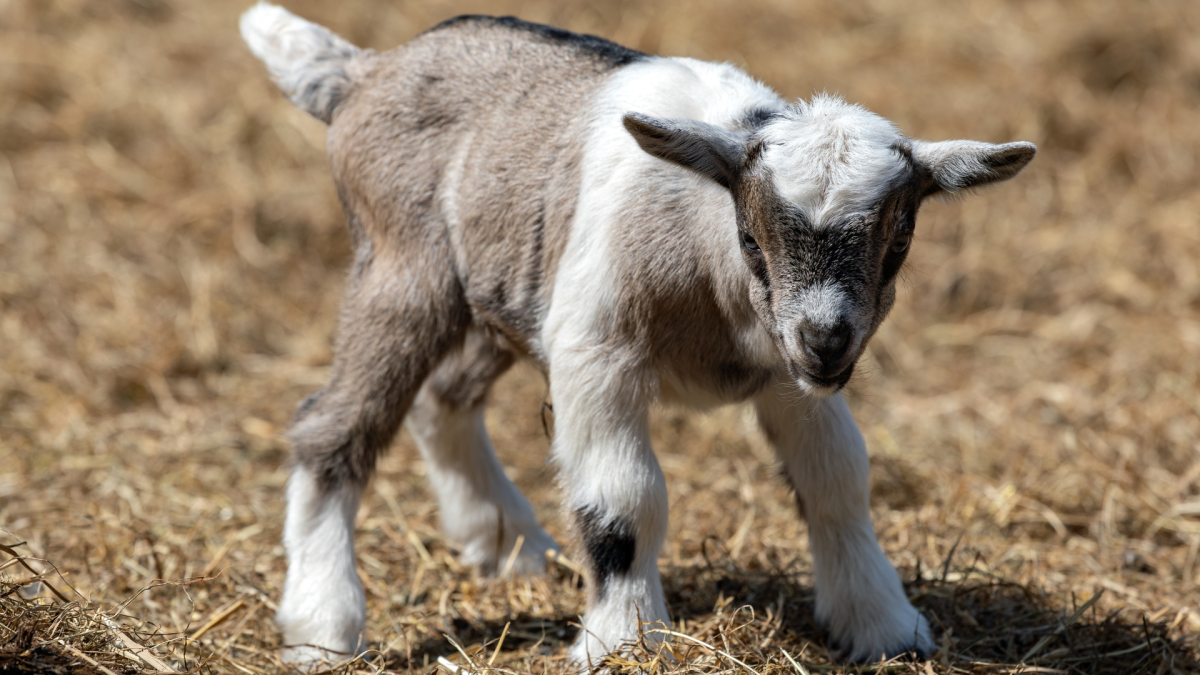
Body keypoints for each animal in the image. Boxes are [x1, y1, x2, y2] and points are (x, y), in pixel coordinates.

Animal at [240, 2, 1036, 666]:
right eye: (752, 238)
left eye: (897, 244)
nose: (827, 342)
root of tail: (363, 72)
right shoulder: (598, 348)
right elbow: (625, 499)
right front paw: (627, 640)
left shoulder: (788, 371)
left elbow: (838, 479)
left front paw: (883, 625)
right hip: (402, 266)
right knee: (331, 426)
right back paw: (323, 627)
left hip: (501, 285)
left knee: (443, 397)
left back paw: (508, 545)